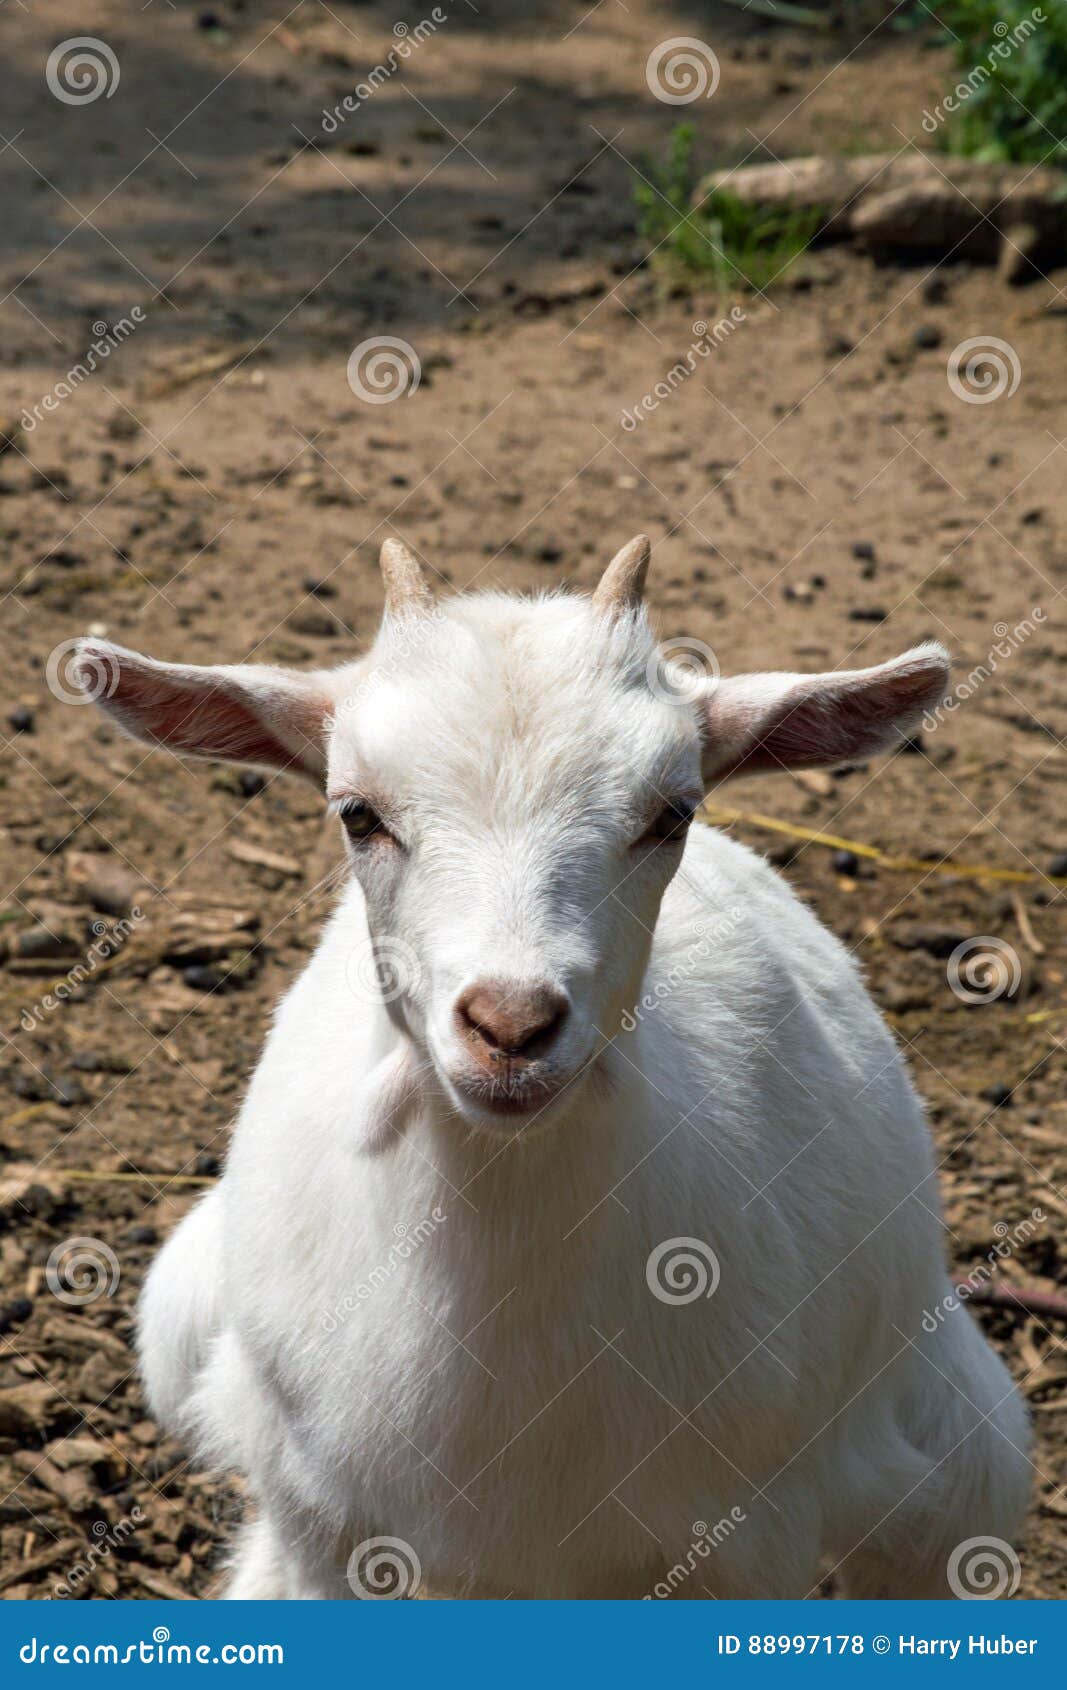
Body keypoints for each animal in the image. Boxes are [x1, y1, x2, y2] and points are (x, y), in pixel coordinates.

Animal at [75, 537, 1029, 1599]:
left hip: (949, 1456)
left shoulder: (745, 1536)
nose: (511, 1025)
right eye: (357, 813)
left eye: (670, 813)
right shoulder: (319, 1519)